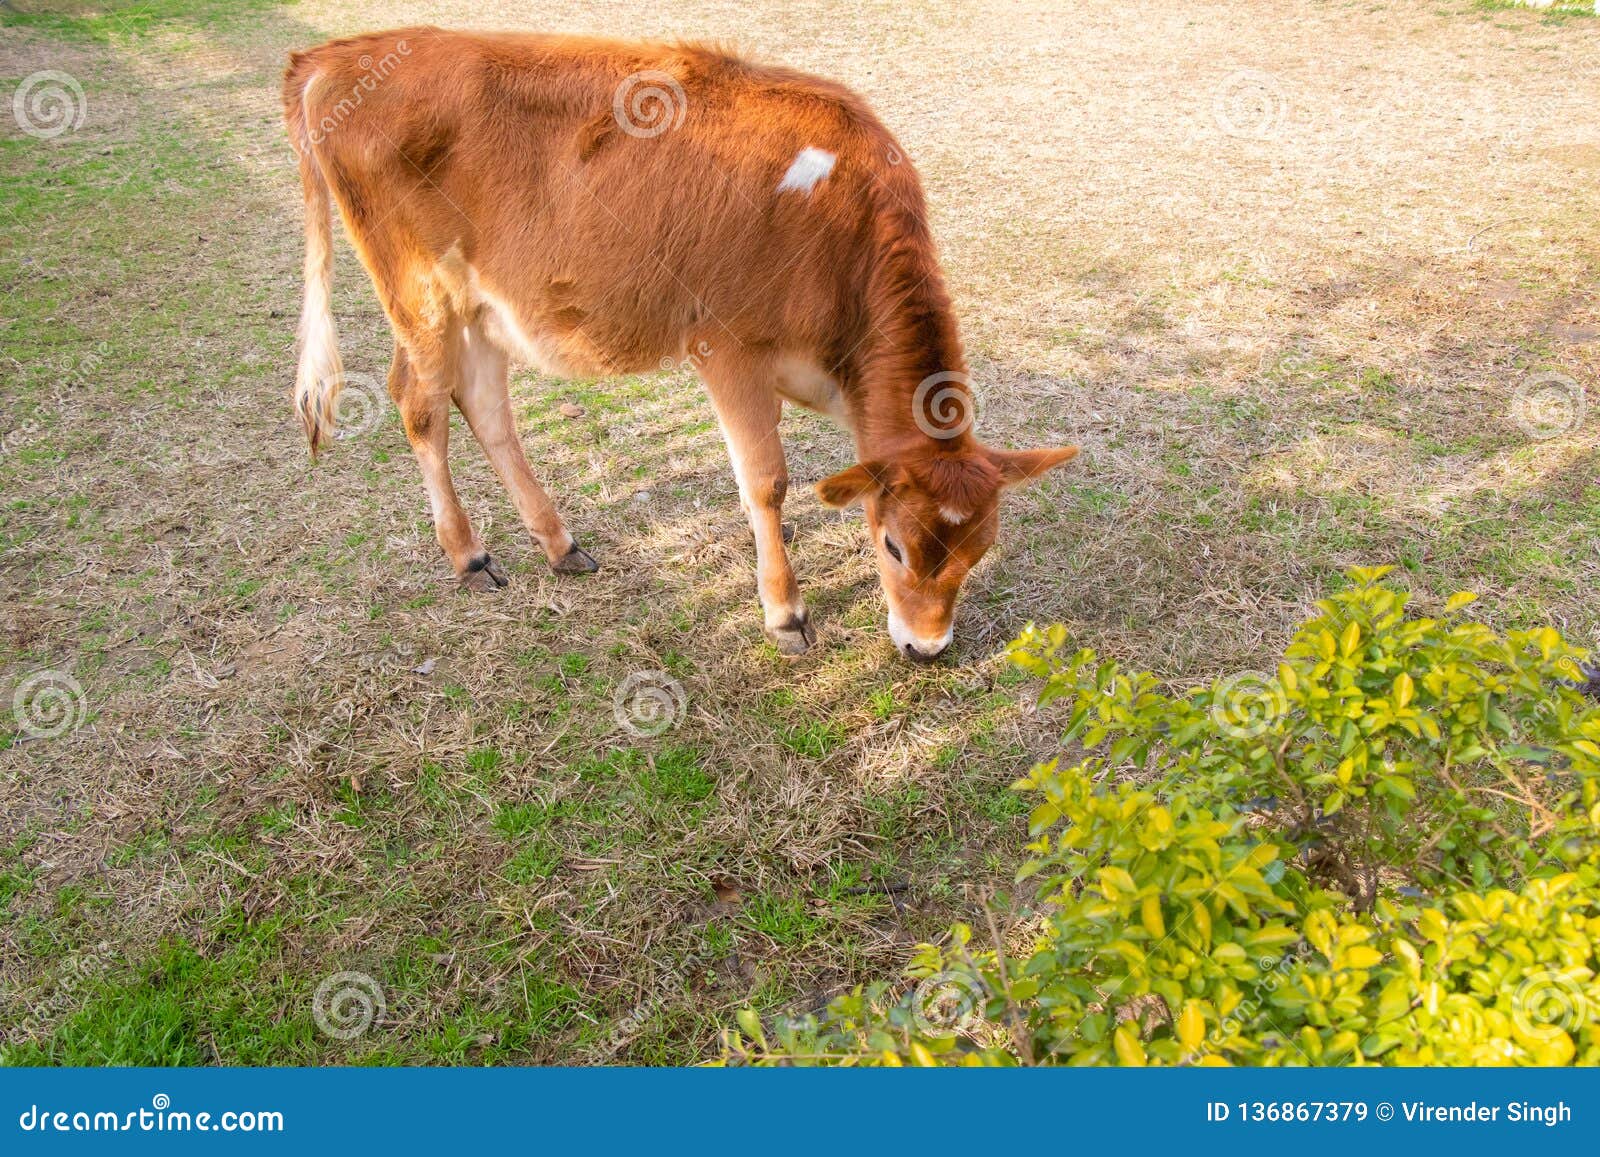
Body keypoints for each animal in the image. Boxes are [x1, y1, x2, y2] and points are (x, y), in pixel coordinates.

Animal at [283, 28, 1077, 661]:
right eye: (892, 545)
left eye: (980, 549)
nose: (926, 647)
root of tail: (345, 52)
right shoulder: (727, 345)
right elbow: (766, 481)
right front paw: (786, 613)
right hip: (419, 290)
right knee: (420, 406)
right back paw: (469, 555)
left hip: (483, 304)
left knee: (483, 406)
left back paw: (559, 543)